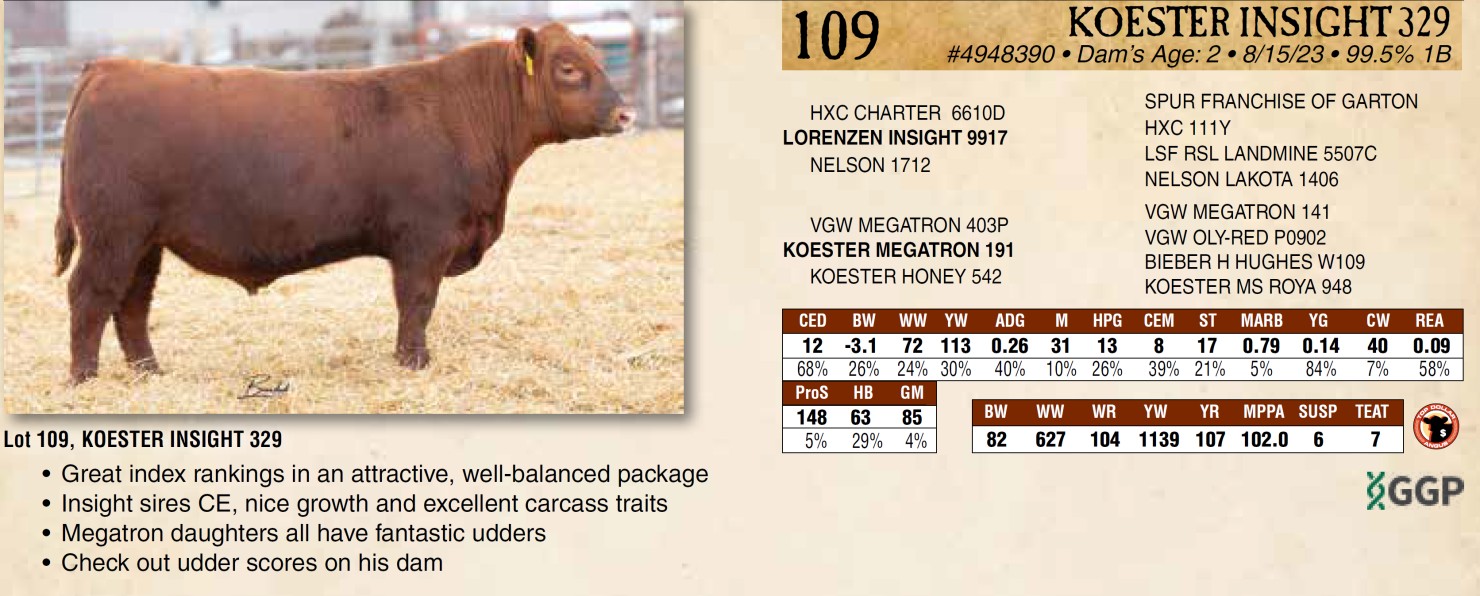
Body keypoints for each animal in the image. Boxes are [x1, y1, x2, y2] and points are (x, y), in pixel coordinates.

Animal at [53, 23, 633, 384]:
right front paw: (413, 363)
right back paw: (85, 379)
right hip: (113, 234)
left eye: (596, 60)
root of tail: (107, 67)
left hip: (143, 242)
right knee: (90, 296)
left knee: (131, 304)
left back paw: (149, 373)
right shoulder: (424, 241)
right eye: (568, 68)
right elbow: (417, 303)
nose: (625, 114)